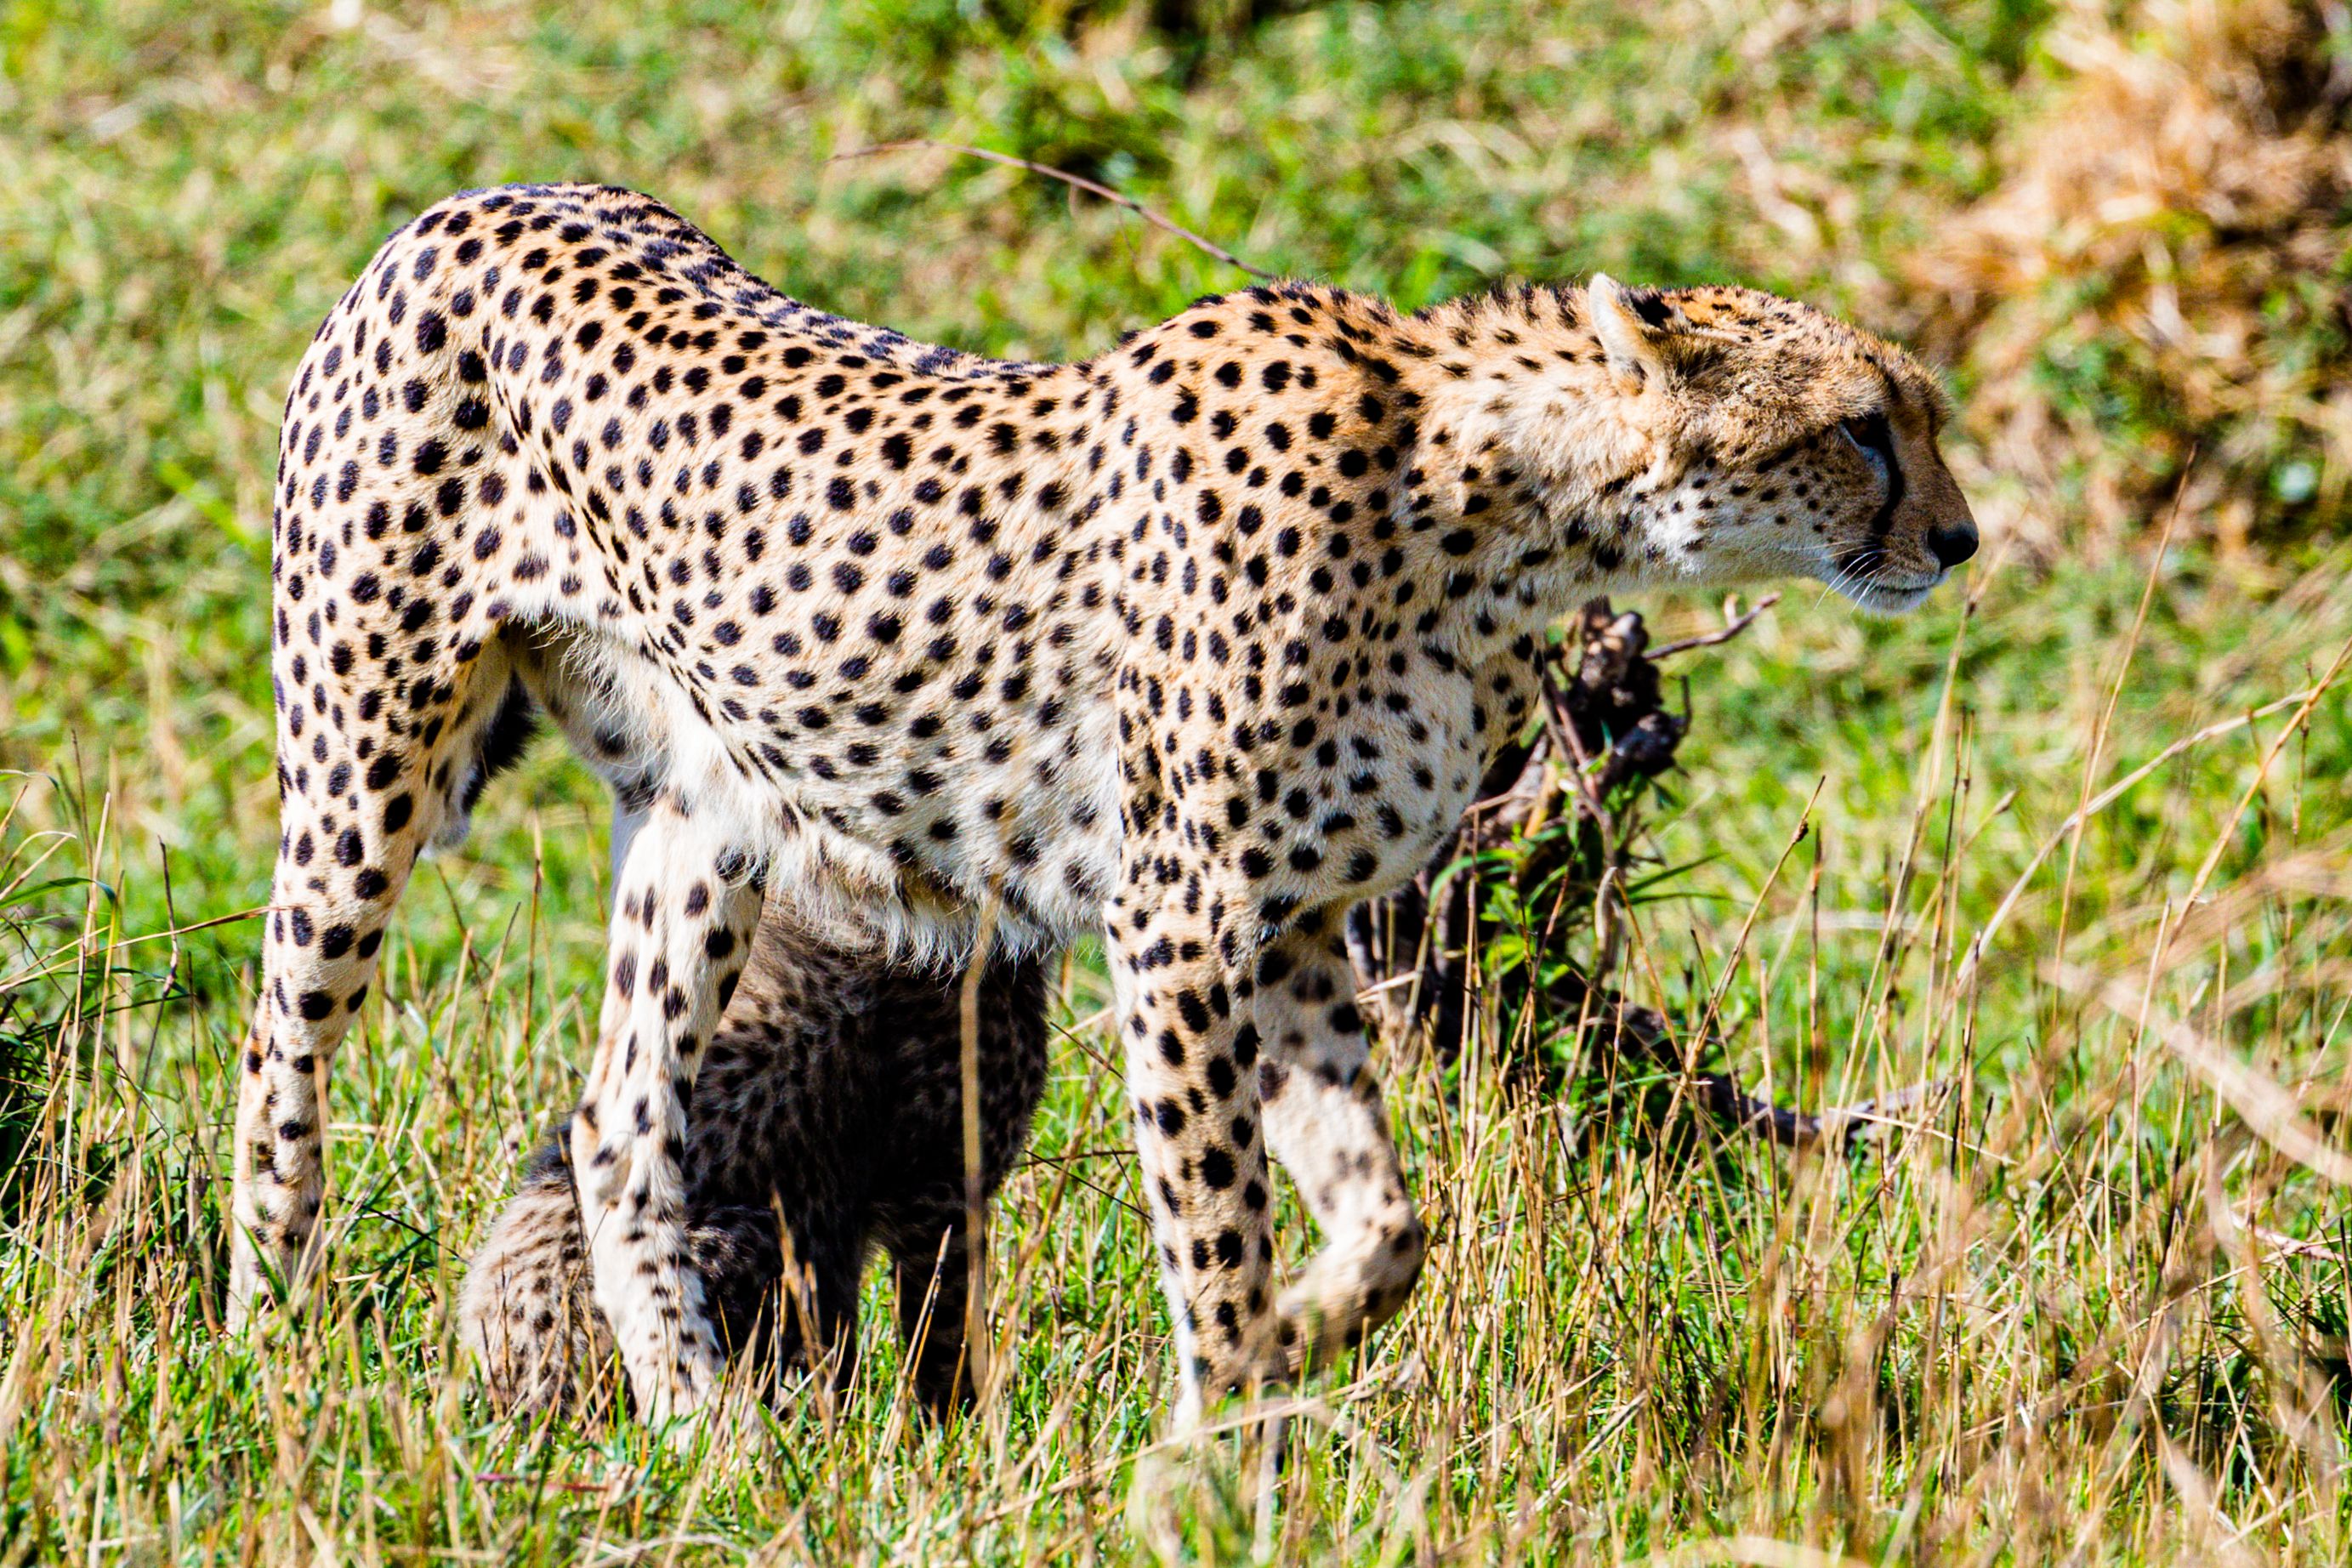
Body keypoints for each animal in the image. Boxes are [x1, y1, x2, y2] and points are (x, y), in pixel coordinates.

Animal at [236, 180, 1976, 1432]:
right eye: (1859, 428)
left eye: (1919, 416)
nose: (1959, 541)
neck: (1493, 517)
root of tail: (476, 201)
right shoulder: (1184, 926)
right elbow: (1213, 1226)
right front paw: (1222, 1442)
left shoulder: (1297, 926)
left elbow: (1382, 1225)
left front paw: (1299, 1345)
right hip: (363, 767)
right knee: (279, 1053)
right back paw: (272, 1357)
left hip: (700, 815)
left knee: (616, 1119)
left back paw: (694, 1416)